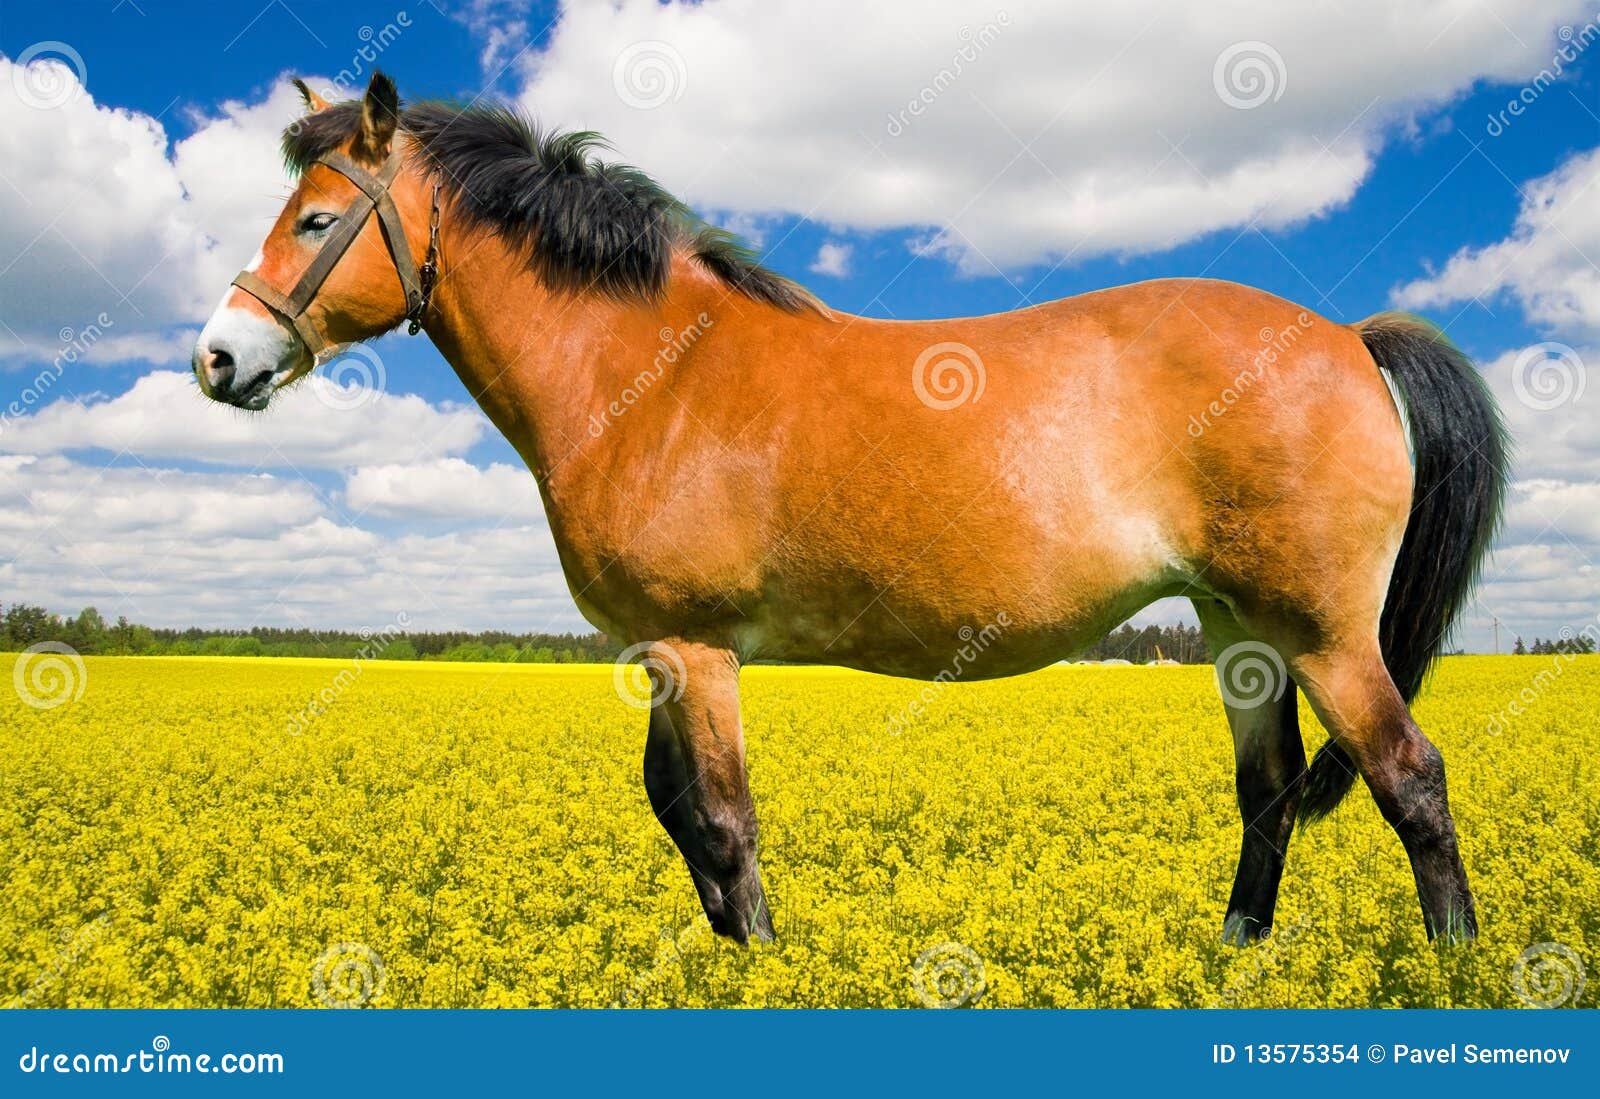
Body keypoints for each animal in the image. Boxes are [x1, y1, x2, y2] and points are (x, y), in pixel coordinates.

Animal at [192, 72, 1506, 949]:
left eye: (317, 219)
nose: (218, 357)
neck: (651, 372)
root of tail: (1345, 336)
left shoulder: (697, 650)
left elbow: (722, 821)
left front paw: (762, 967)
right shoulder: (658, 650)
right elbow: (677, 813)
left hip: (1326, 636)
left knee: (1411, 778)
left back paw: (1451, 967)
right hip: (1240, 630)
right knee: (1268, 791)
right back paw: (1236, 956)